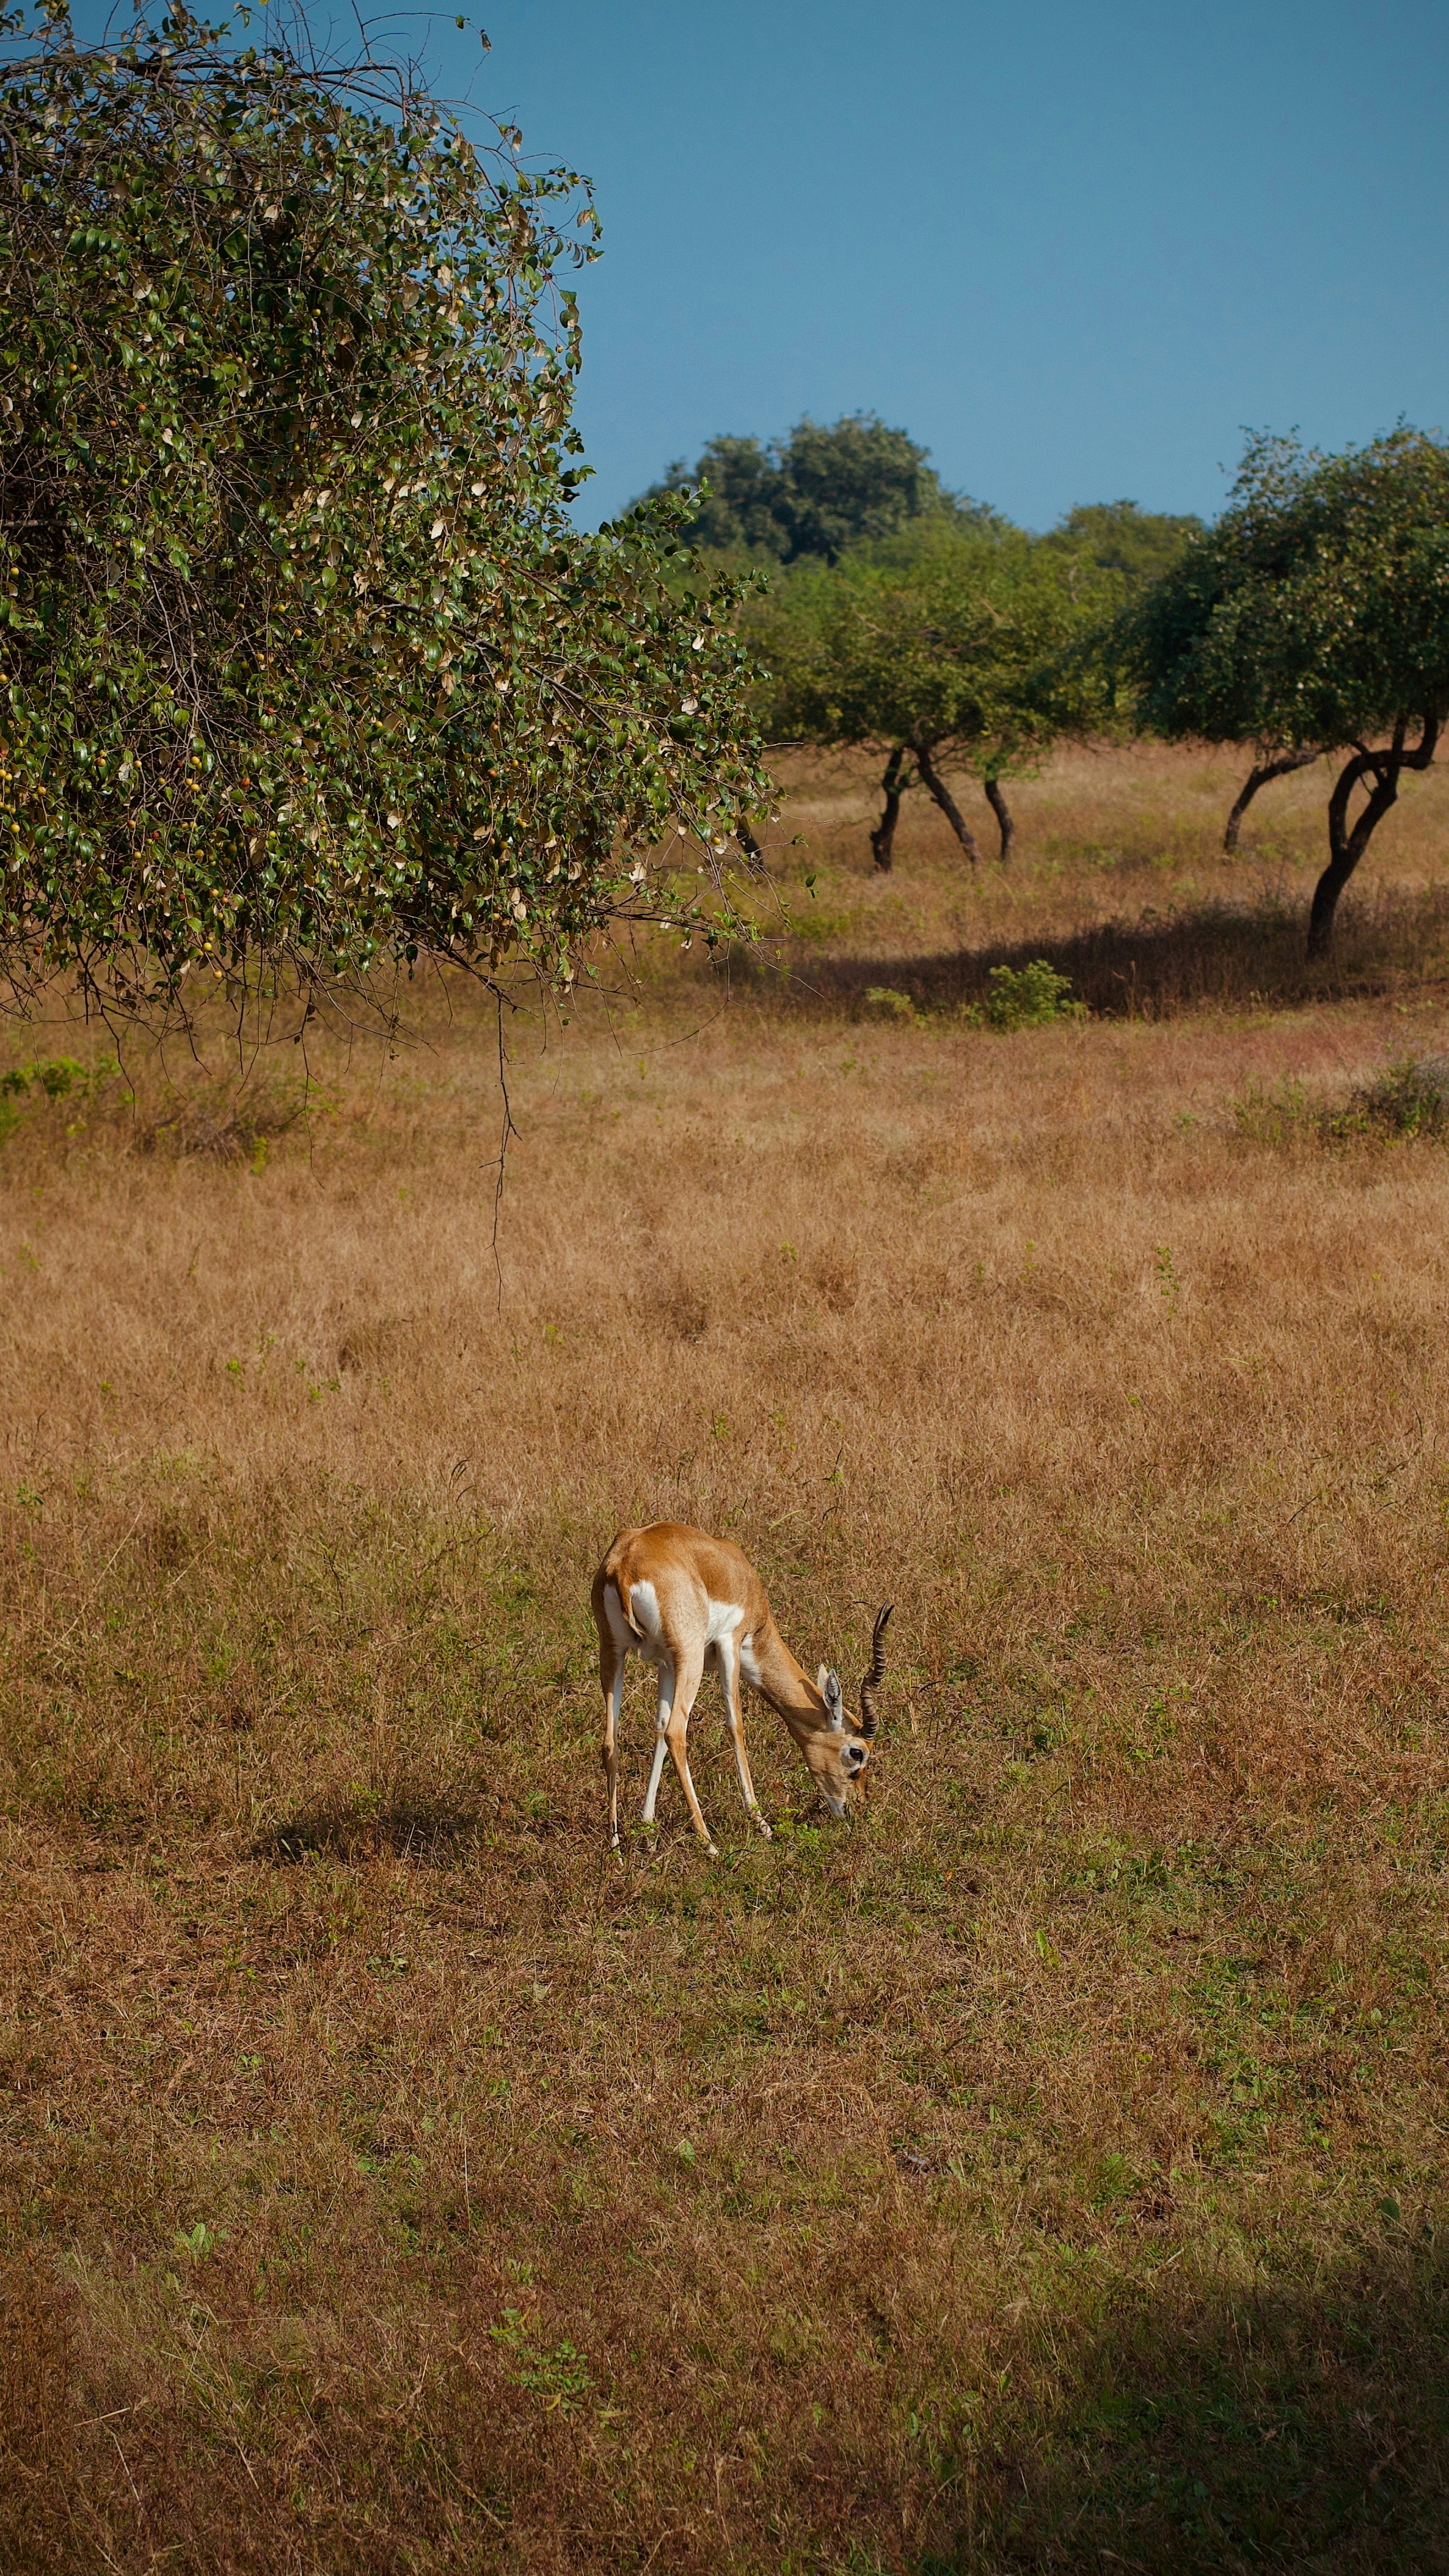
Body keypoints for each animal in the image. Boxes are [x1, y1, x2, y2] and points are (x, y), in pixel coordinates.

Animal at [592, 1521, 891, 1856]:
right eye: (857, 1753)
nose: (854, 1808)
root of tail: (624, 1563)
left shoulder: (666, 1663)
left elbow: (658, 1727)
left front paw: (648, 1829)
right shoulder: (731, 1643)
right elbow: (735, 1725)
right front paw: (762, 1825)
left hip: (613, 1650)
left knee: (612, 1741)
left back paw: (616, 1848)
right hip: (691, 1657)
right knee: (677, 1732)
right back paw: (709, 1843)